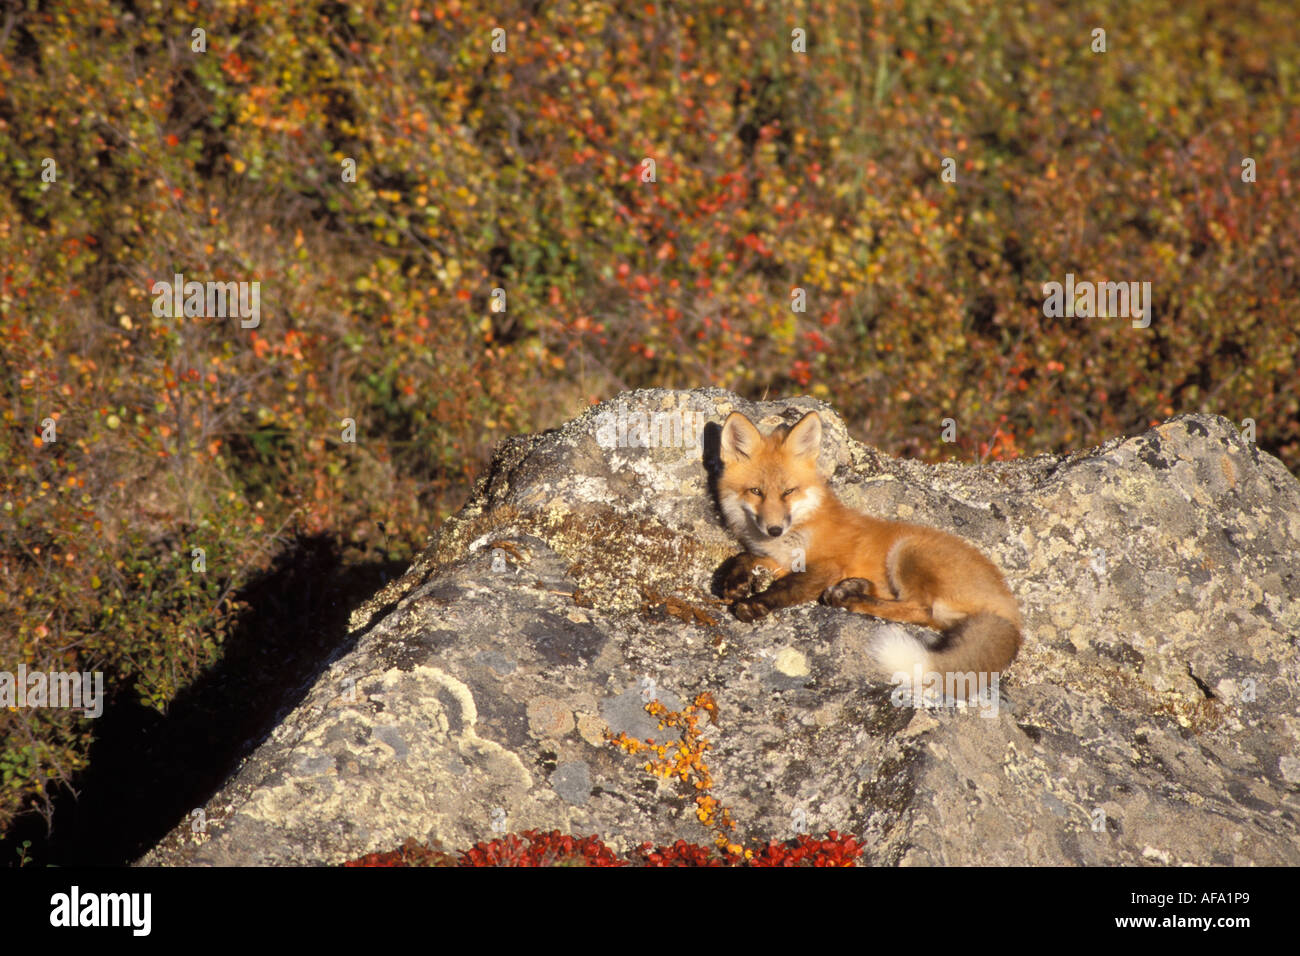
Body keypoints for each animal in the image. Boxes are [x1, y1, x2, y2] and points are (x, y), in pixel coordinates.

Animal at [714, 409, 1021, 690]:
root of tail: (1010, 610)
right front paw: (735, 581)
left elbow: (785, 588)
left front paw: (756, 603)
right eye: (756, 491)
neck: (802, 525)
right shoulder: (783, 560)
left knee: (920, 610)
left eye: (788, 492)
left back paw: (851, 599)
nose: (774, 529)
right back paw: (854, 588)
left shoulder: (826, 566)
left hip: (906, 552)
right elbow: (746, 556)